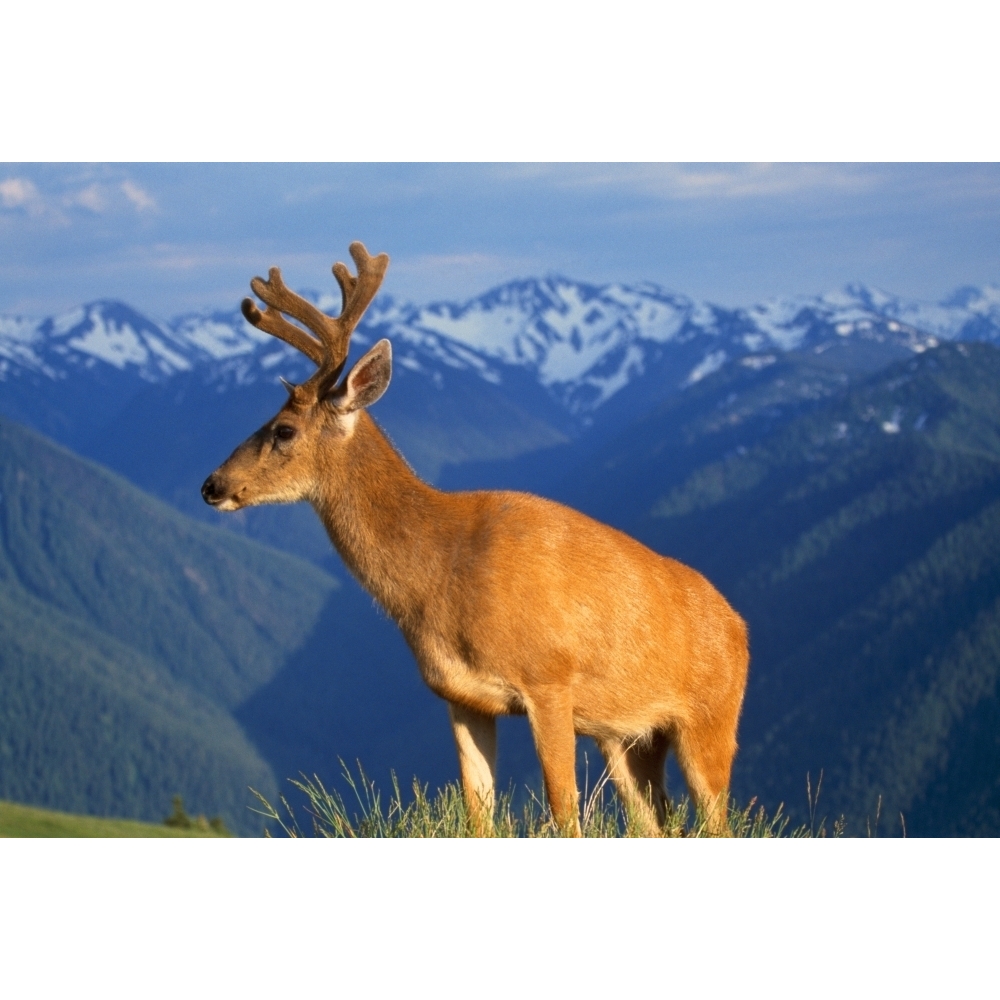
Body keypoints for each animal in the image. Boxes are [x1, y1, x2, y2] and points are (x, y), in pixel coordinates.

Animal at [201, 241, 749, 837]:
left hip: (711, 720)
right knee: (657, 823)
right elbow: (477, 814)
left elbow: (565, 815)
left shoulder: (549, 680)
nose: (212, 485)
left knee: (718, 822)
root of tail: (740, 628)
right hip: (628, 738)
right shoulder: (462, 696)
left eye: (283, 430)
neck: (442, 571)